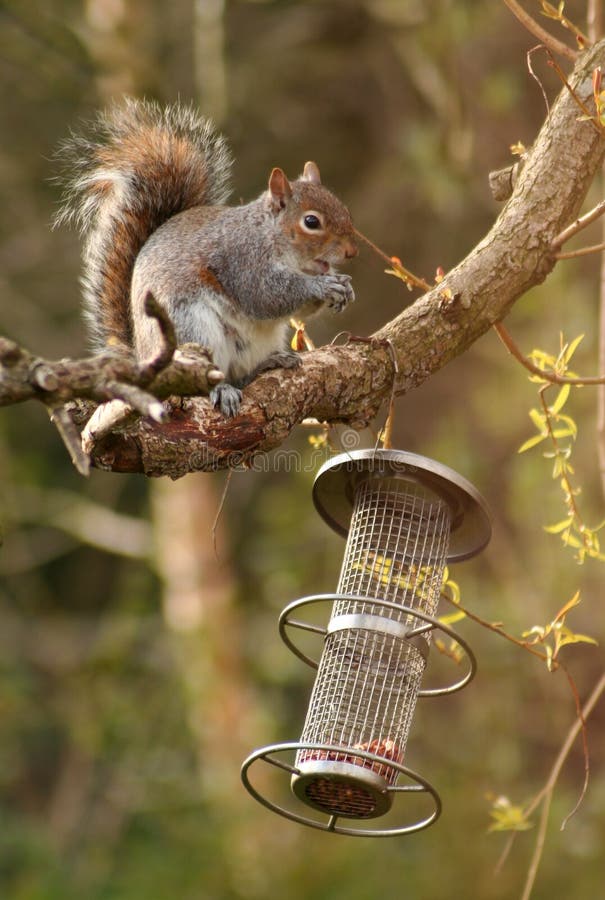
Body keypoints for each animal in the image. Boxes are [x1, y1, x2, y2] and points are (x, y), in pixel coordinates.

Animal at [55, 98, 358, 417]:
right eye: (311, 222)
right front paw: (322, 286)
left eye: (344, 209)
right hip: (190, 329)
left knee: (242, 376)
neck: (271, 236)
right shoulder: (242, 260)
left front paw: (343, 286)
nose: (352, 251)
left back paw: (268, 363)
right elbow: (266, 295)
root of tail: (142, 356)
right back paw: (222, 389)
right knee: (202, 380)